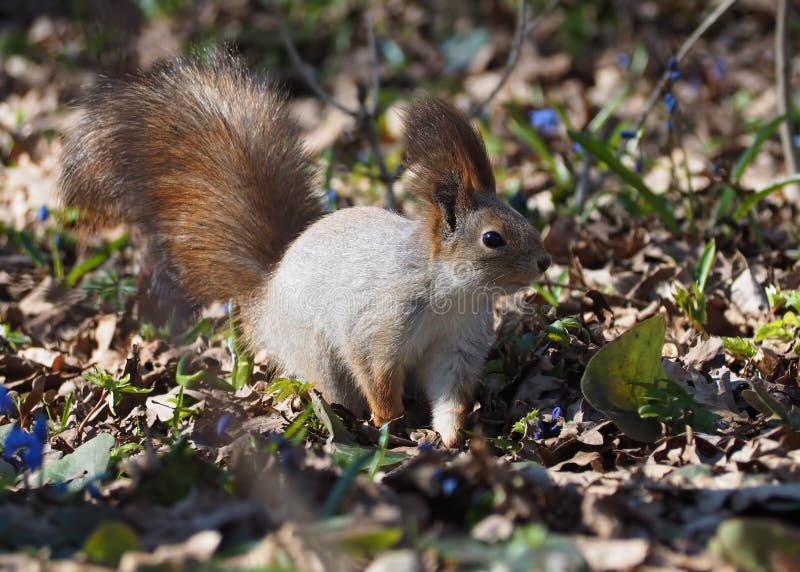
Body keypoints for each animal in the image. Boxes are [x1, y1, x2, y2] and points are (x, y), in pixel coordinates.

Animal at [58, 53, 551, 447]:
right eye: (492, 238)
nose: (545, 261)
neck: (450, 293)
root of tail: (267, 290)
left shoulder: (458, 345)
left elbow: (448, 393)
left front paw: (451, 435)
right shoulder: (376, 325)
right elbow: (374, 372)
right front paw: (389, 421)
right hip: (316, 355)